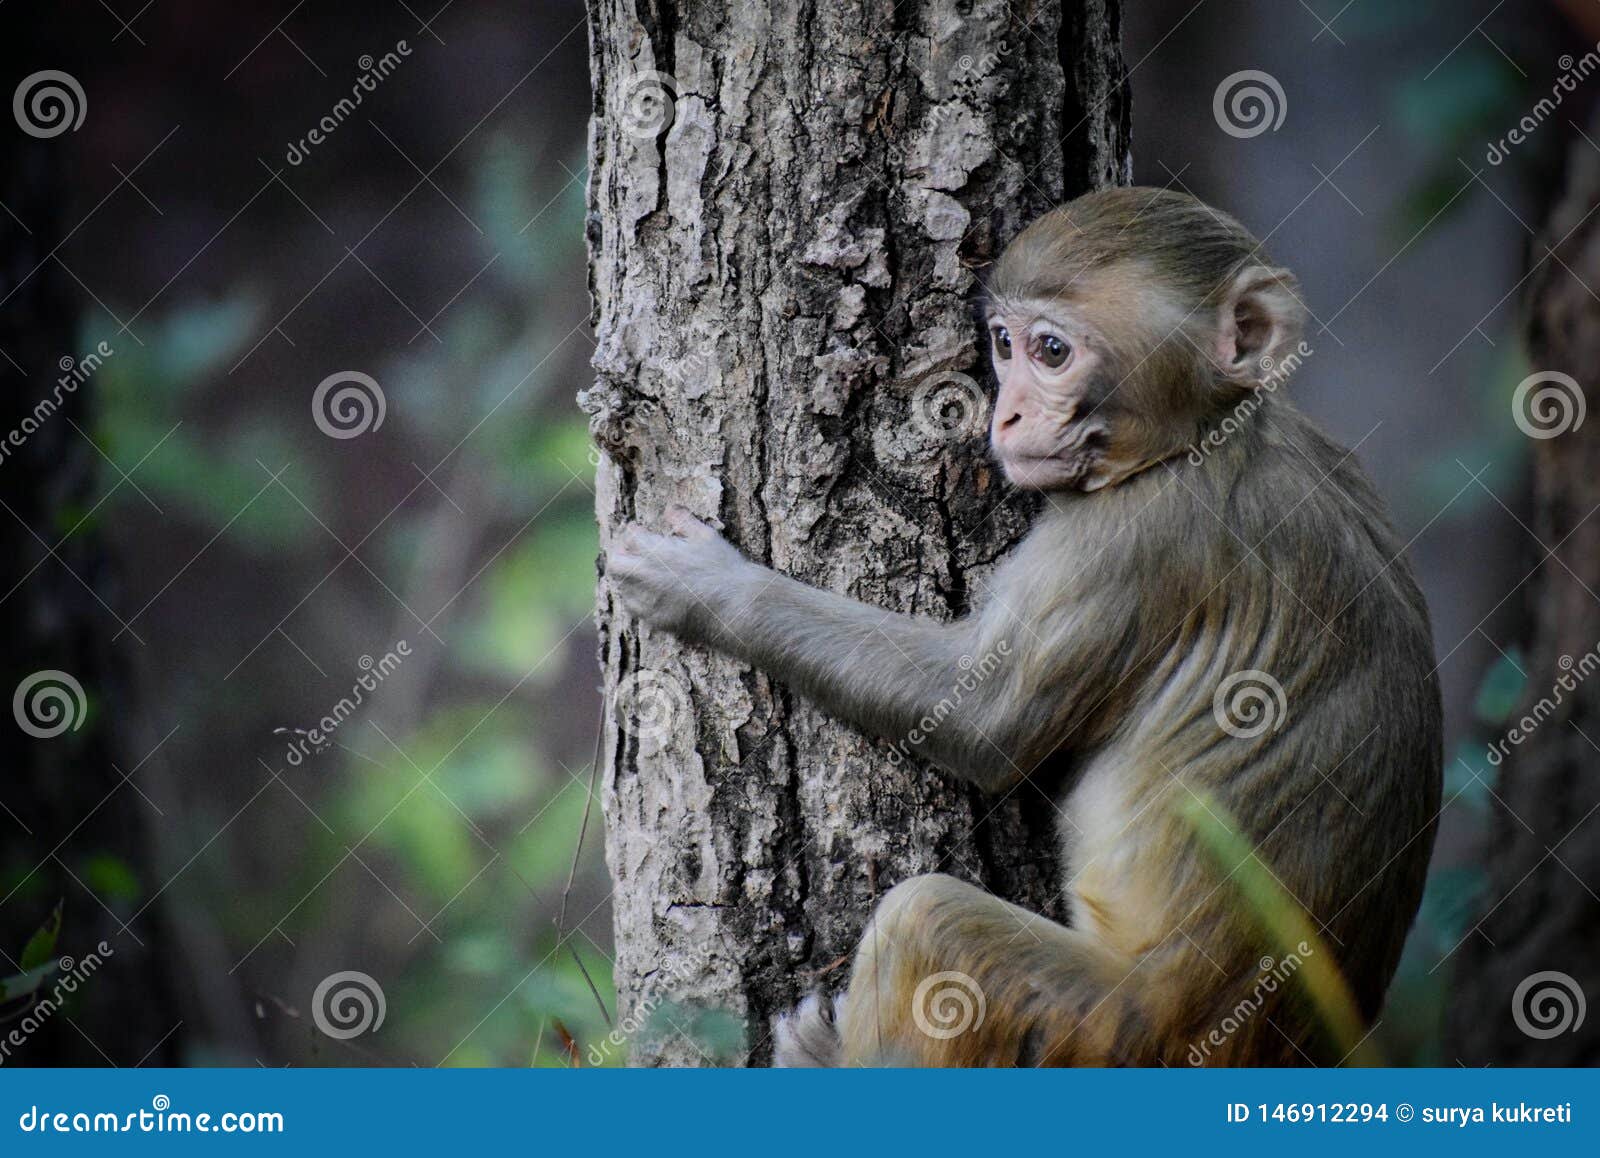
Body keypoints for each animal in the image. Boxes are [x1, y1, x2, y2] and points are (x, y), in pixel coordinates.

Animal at [606, 187, 1442, 1067]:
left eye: (1052, 351)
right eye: (1004, 344)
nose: (1003, 416)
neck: (1208, 434)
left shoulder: (1128, 535)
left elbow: (983, 721)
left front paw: (710, 589)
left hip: (1113, 1029)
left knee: (929, 919)